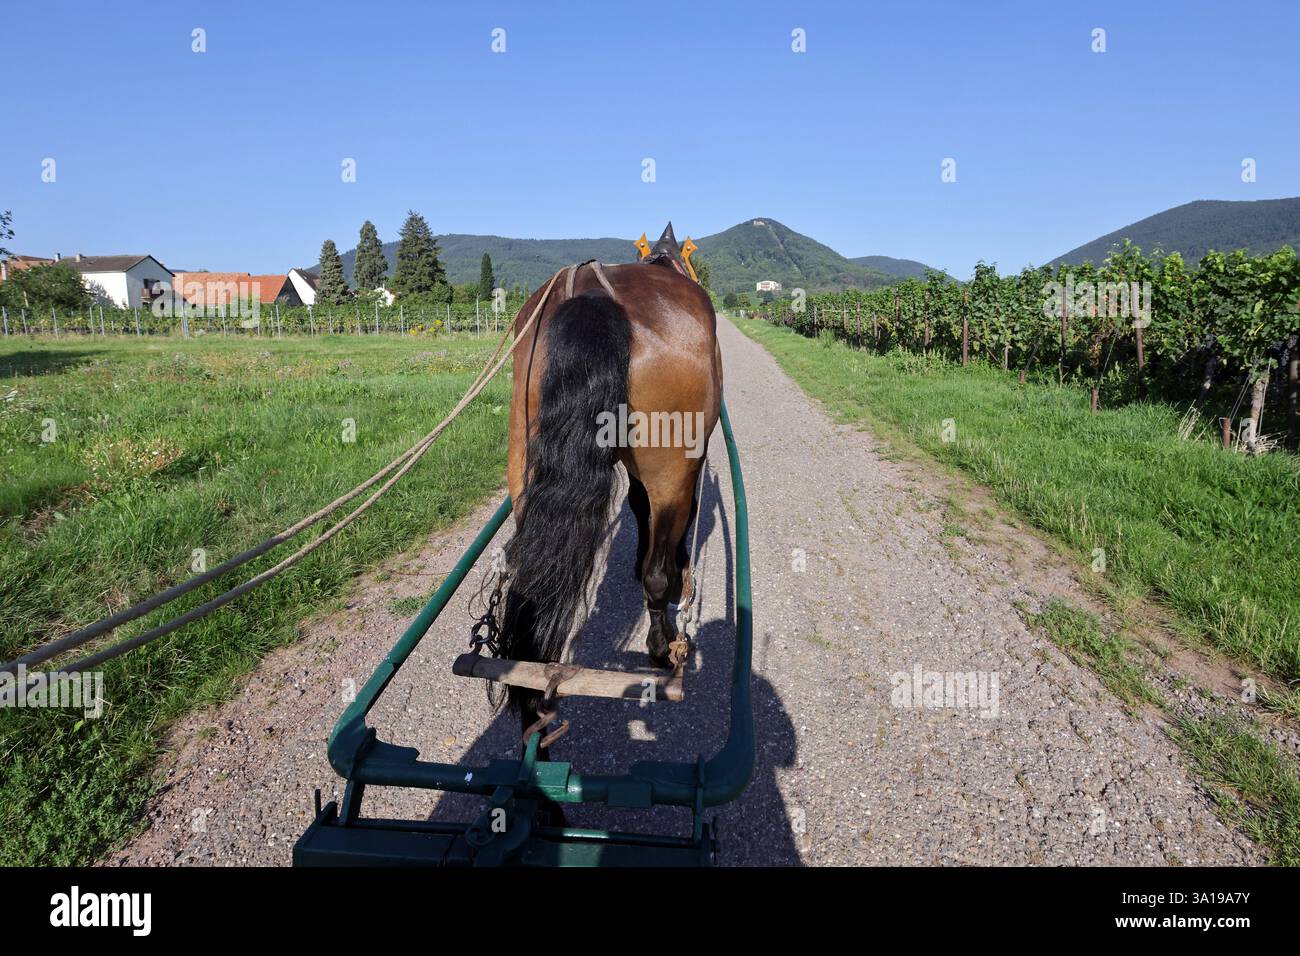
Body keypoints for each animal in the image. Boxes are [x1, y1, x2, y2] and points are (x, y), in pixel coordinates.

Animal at [496, 224, 722, 749]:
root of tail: (593, 292)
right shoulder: (687, 464)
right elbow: (670, 528)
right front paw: (677, 568)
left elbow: (637, 507)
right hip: (671, 468)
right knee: (659, 569)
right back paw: (662, 644)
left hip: (523, 466)